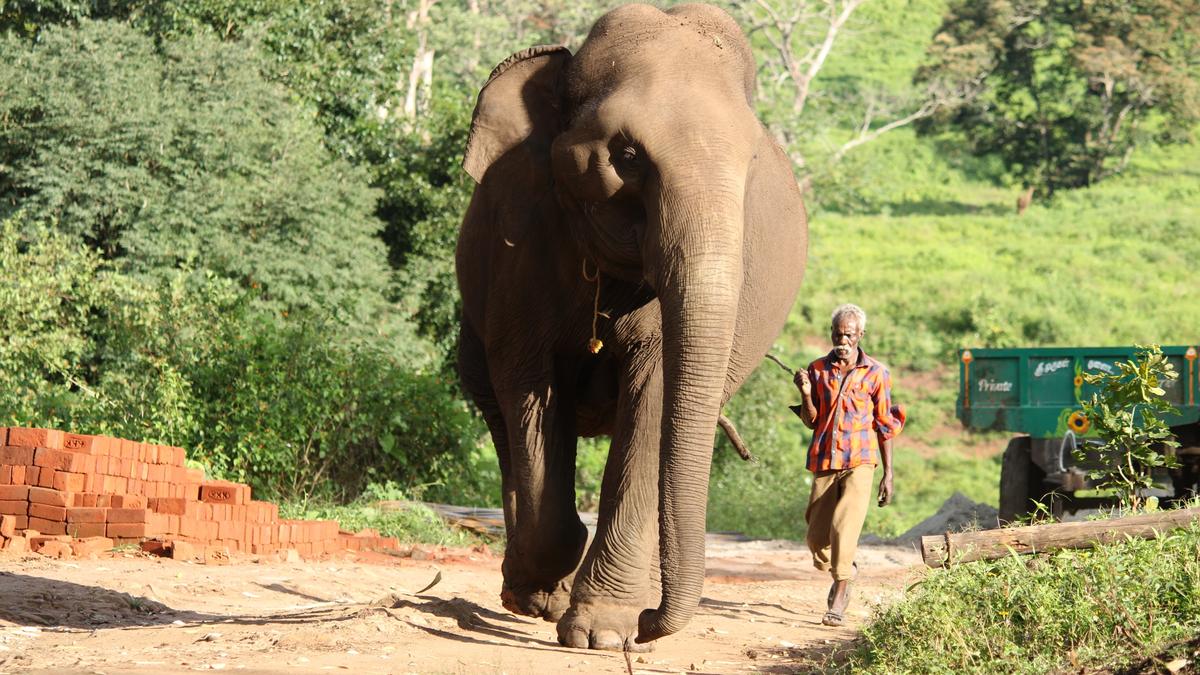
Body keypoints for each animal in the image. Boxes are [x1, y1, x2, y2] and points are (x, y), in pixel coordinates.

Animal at [455, 3, 808, 651]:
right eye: (627, 157)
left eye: (751, 168)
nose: (649, 625)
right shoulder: (525, 249)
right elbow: (530, 385)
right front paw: (544, 595)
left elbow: (656, 395)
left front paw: (602, 632)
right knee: (495, 407)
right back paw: (527, 589)